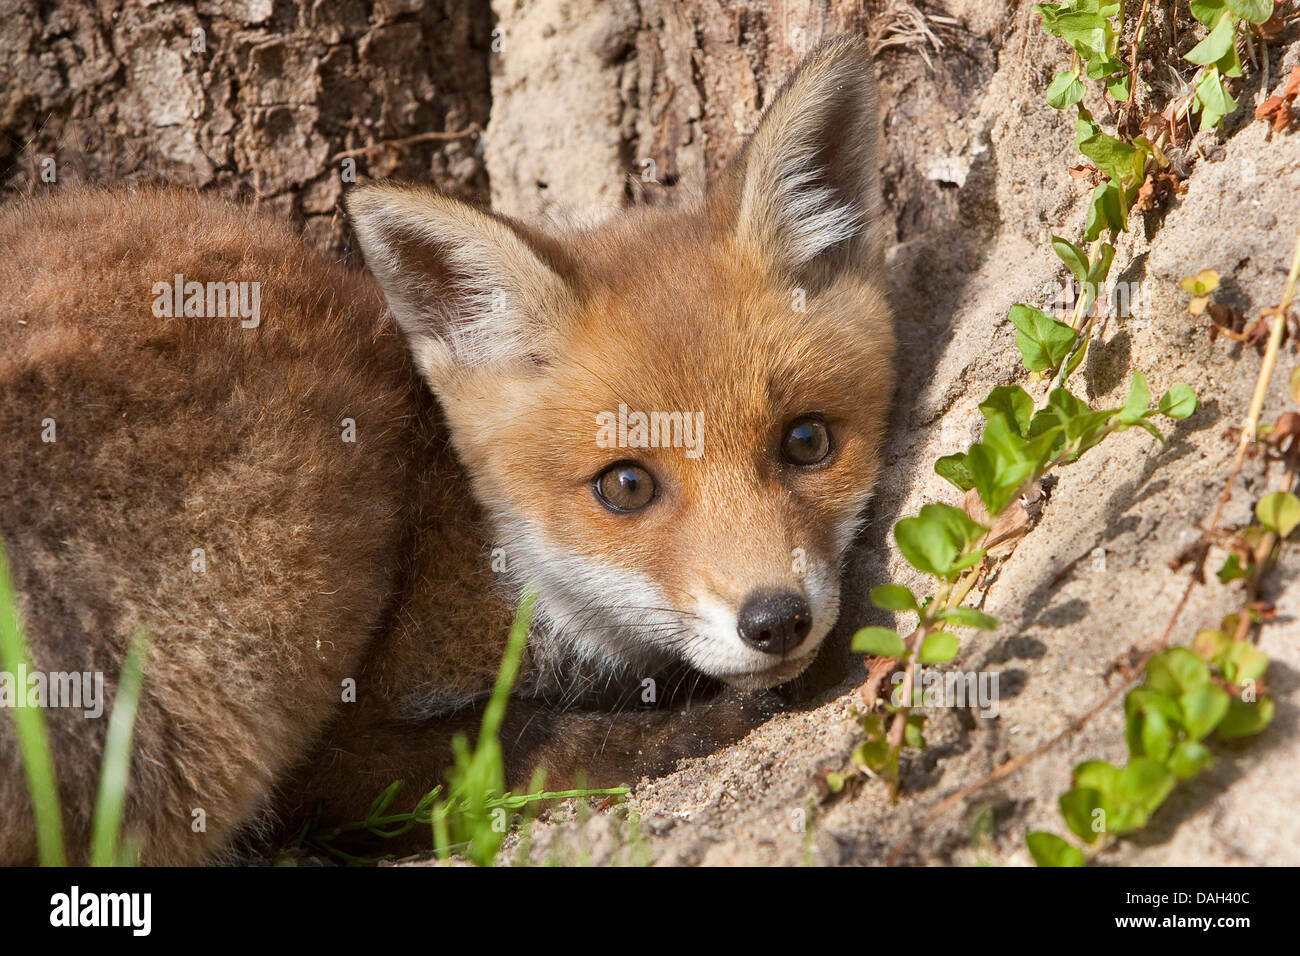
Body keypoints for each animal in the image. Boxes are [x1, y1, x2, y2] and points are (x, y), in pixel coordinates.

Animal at [0, 37, 894, 865]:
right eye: (627, 486)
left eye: (806, 441)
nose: (776, 620)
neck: (480, 547)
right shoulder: (340, 752)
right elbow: (513, 742)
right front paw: (688, 726)